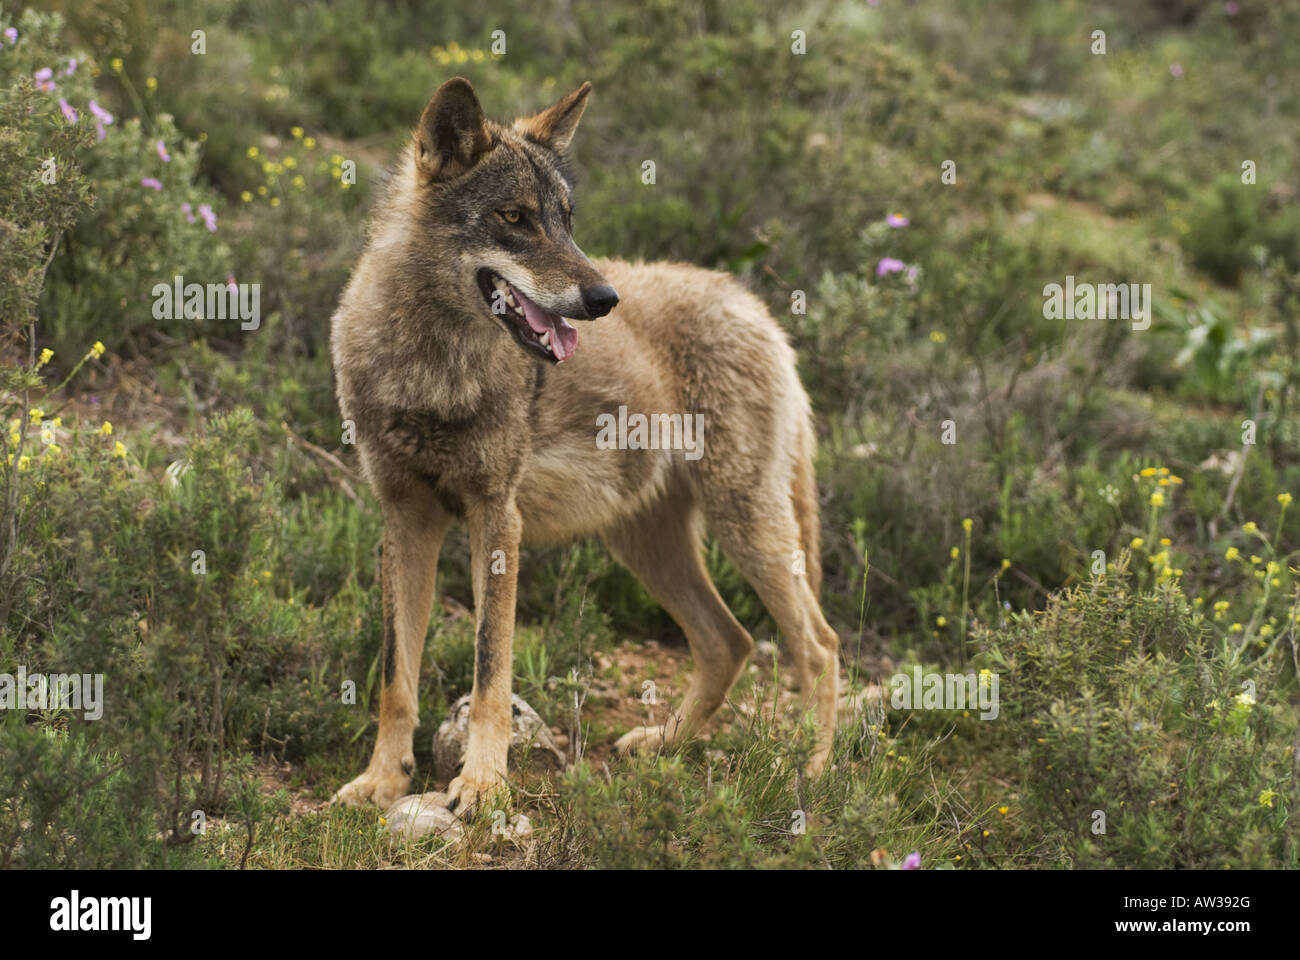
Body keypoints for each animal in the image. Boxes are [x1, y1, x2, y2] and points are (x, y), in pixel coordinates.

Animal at [330, 77, 841, 813]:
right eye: (515, 217)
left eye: (566, 220)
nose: (603, 297)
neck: (429, 370)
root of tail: (757, 308)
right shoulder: (404, 520)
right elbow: (396, 677)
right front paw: (382, 780)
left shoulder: (497, 521)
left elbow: (490, 673)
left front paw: (482, 786)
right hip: (646, 544)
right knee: (731, 642)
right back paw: (663, 748)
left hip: (746, 531)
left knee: (818, 645)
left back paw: (816, 774)